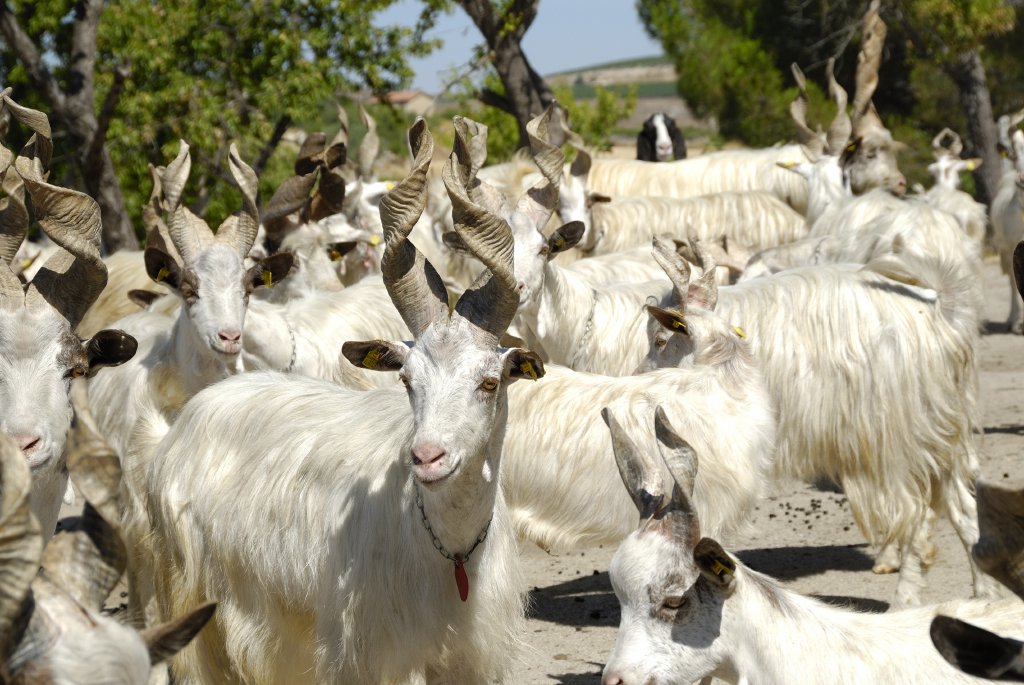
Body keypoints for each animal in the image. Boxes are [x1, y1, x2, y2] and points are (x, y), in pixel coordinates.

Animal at [139, 118, 544, 684]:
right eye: (407, 380)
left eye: (490, 382)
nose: (428, 458)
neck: (451, 554)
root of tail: (178, 428)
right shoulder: (368, 654)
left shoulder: (469, 659)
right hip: (190, 594)